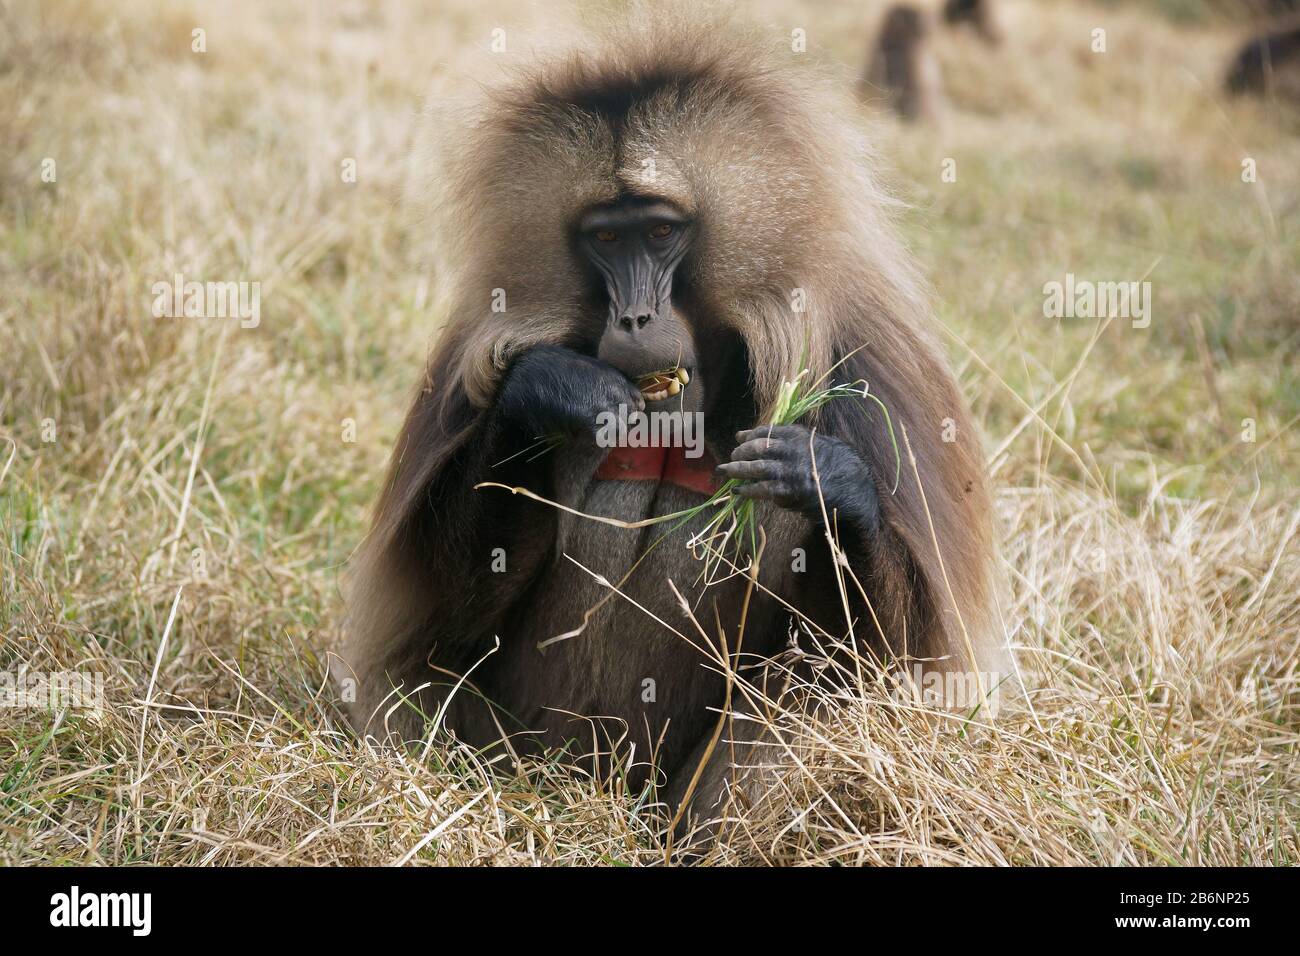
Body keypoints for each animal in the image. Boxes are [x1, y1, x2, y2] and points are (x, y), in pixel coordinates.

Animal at [335, 9, 1008, 844]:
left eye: (659, 233)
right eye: (605, 238)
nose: (634, 319)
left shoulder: (868, 367)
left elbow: (889, 664)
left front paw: (825, 482)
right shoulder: (469, 357)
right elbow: (451, 615)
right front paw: (550, 391)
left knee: (804, 707)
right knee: (421, 689)